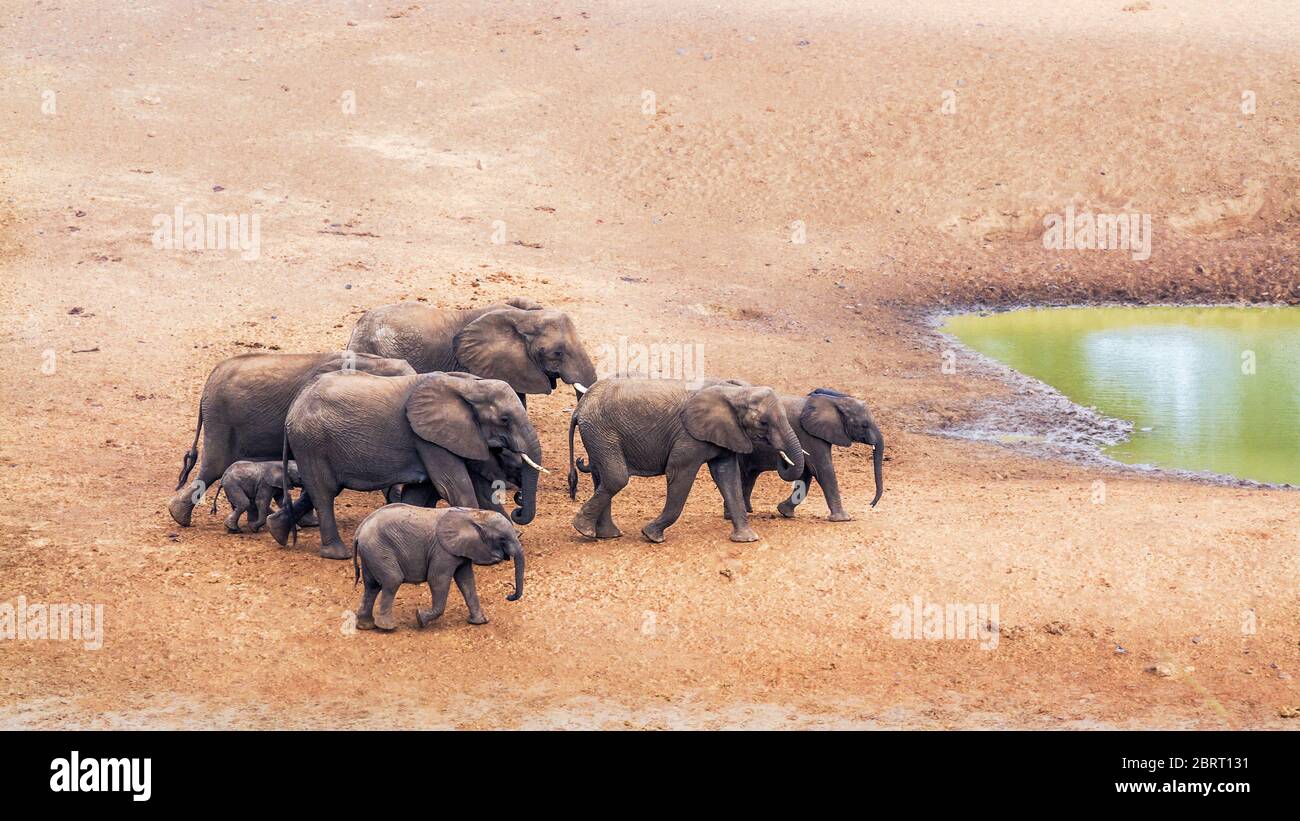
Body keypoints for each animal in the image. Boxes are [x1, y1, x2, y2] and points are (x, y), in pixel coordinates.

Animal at [267, 370, 545, 560]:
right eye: (504, 419)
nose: (519, 504)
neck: (467, 385)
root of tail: (294, 406)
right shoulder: (427, 438)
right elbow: (454, 487)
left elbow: (436, 492)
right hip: (311, 441)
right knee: (324, 494)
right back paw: (337, 554)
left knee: (318, 491)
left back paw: (276, 530)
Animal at [352, 504, 524, 631]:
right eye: (502, 538)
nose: (508, 596)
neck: (473, 514)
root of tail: (359, 530)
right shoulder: (442, 551)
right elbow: (437, 580)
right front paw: (420, 618)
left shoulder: (461, 549)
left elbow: (466, 580)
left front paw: (480, 622)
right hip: (379, 549)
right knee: (392, 581)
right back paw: (388, 628)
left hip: (371, 552)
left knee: (372, 586)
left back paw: (365, 626)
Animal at [566, 377, 806, 543]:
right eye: (763, 423)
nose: (782, 457)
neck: (735, 392)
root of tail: (579, 408)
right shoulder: (688, 436)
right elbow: (679, 472)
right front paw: (651, 536)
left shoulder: (725, 434)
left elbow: (727, 476)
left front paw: (747, 539)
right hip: (601, 431)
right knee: (616, 478)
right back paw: (583, 530)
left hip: (598, 434)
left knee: (602, 477)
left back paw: (607, 535)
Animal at [728, 388, 884, 521]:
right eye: (864, 425)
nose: (871, 504)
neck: (835, 400)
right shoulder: (808, 435)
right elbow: (822, 470)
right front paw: (843, 519)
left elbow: (807, 473)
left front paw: (784, 512)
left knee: (749, 476)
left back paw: (748, 511)